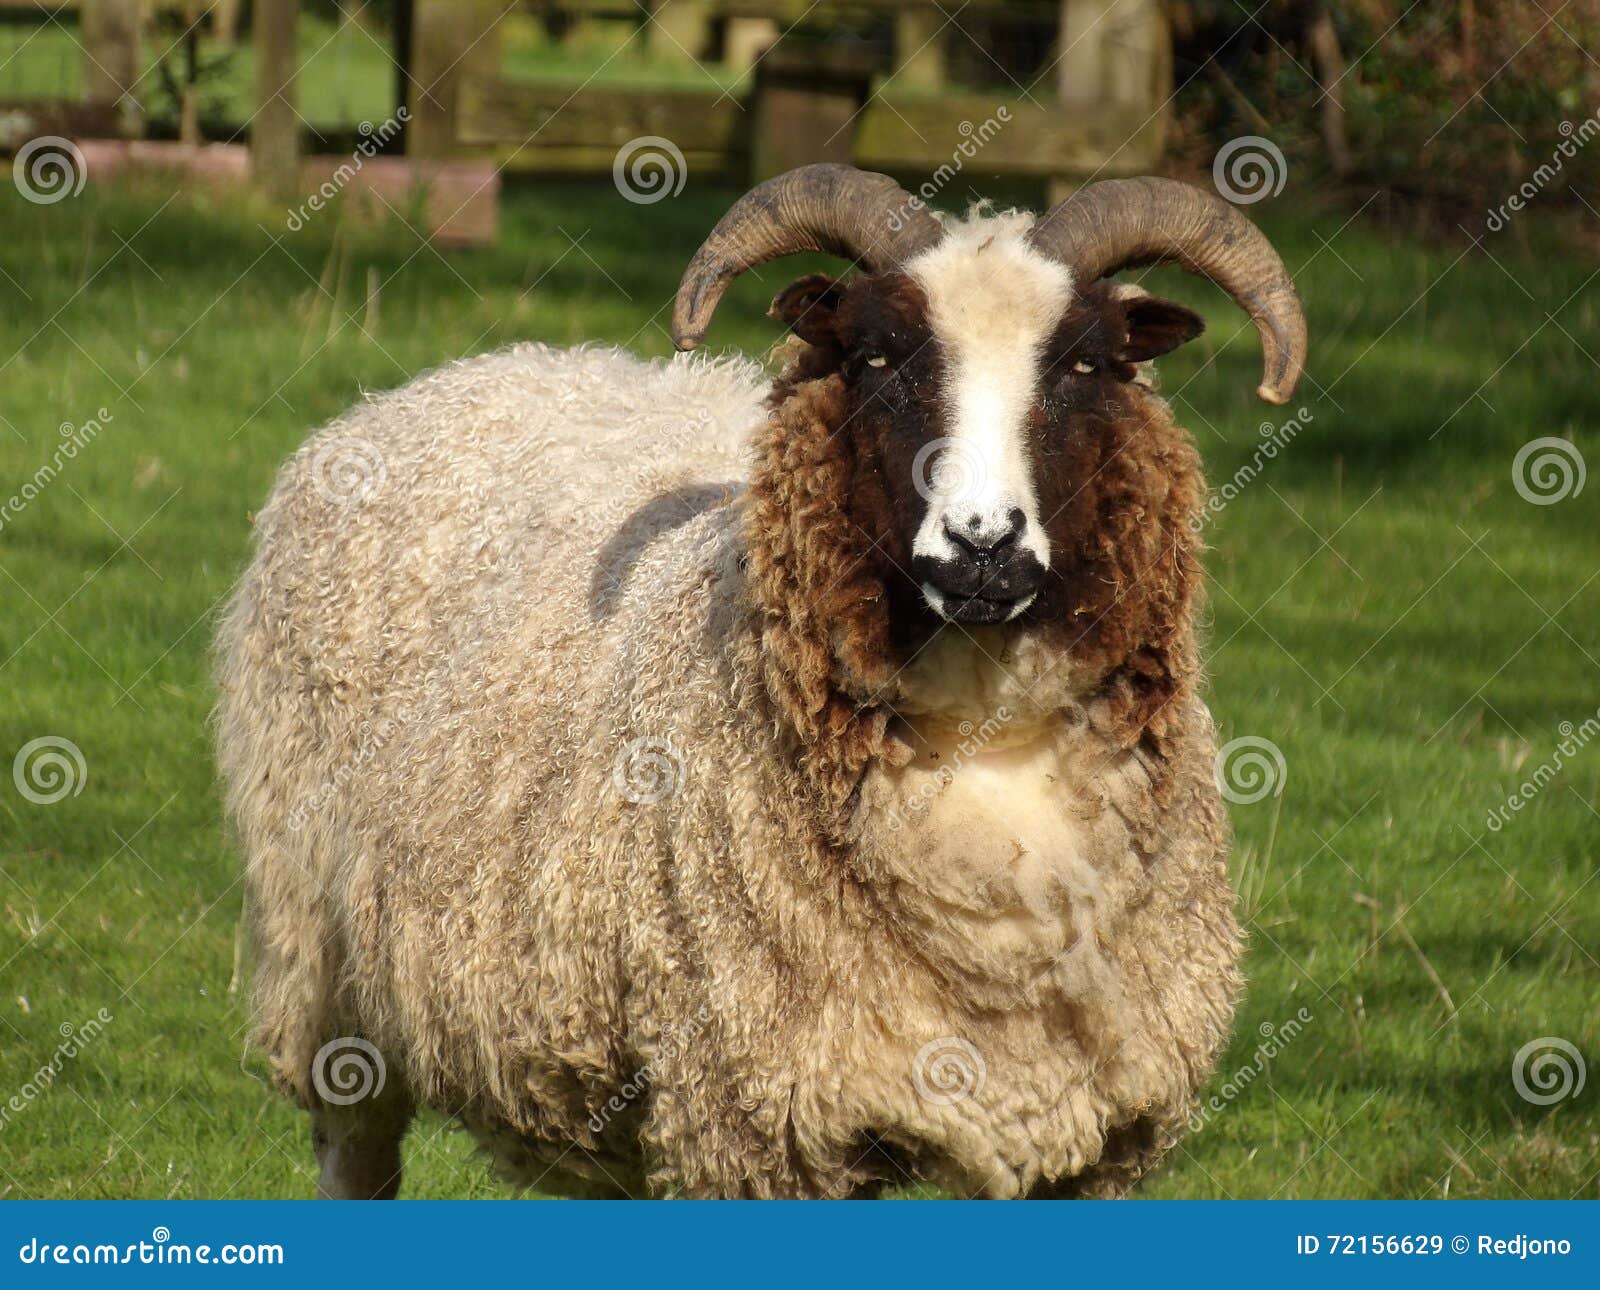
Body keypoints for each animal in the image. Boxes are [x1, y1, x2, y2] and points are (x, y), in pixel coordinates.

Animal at [215, 164, 1307, 1199]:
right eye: (874, 358)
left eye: (1087, 364)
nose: (982, 545)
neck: (988, 749)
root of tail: (470, 371)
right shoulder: (753, 1116)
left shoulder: (1095, 1137)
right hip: (327, 966)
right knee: (354, 1148)